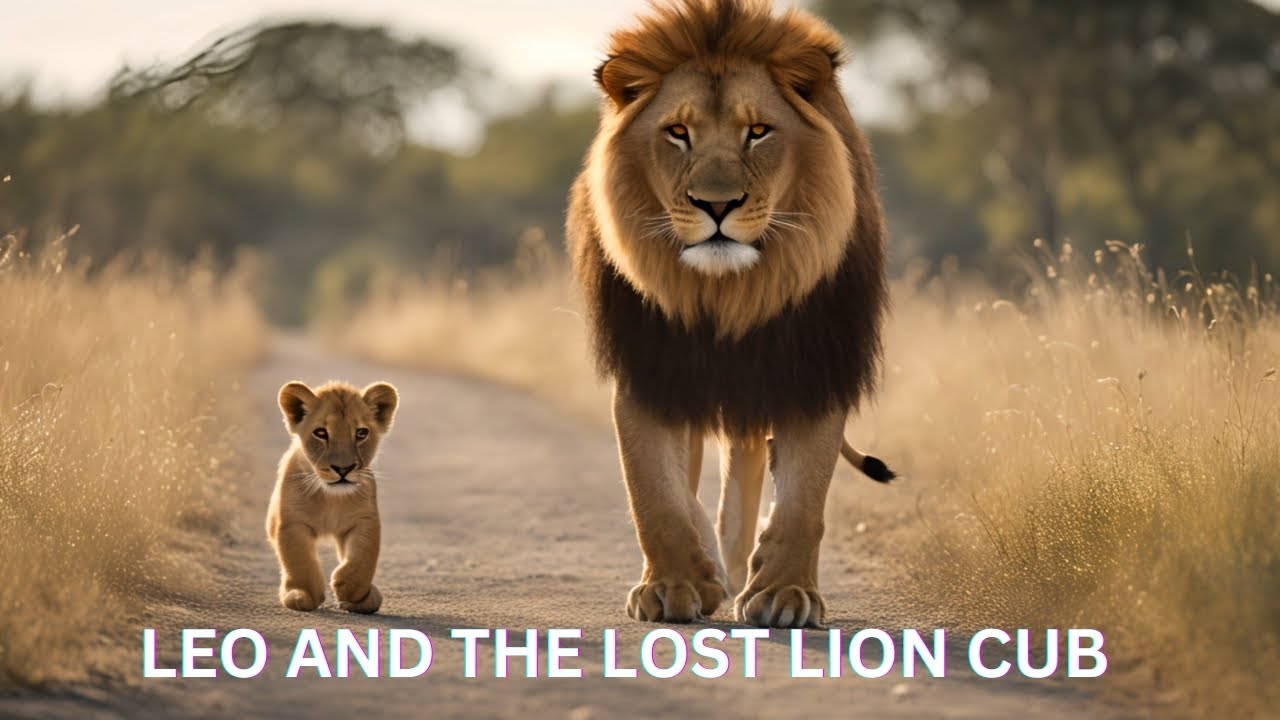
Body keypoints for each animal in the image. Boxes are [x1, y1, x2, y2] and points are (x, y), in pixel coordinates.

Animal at [266, 380, 399, 613]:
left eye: (361, 433)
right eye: (321, 433)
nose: (343, 469)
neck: (330, 498)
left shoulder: (364, 520)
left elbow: (363, 557)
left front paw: (346, 587)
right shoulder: (291, 522)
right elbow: (299, 560)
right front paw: (303, 595)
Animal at [567, 0, 893, 628]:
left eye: (758, 131)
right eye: (677, 133)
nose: (716, 206)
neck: (728, 295)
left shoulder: (813, 367)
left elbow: (803, 499)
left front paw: (785, 592)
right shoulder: (651, 368)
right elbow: (654, 491)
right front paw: (674, 583)